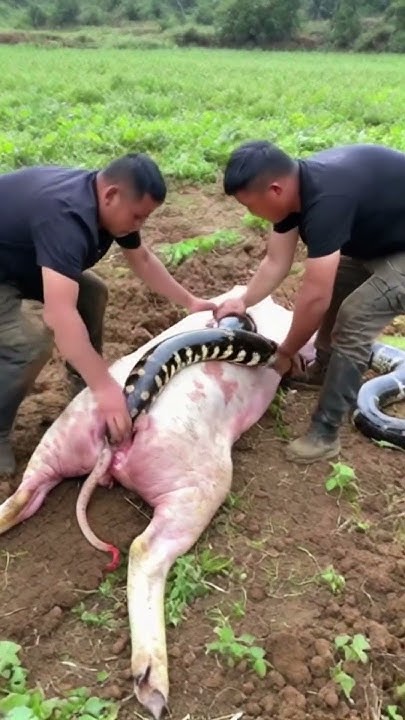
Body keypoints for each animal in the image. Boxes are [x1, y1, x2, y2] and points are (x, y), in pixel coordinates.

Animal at [0, 285, 316, 719]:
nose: (272, 349)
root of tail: (121, 430)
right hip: (199, 484)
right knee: (143, 550)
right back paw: (153, 690)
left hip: (64, 432)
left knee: (22, 496)